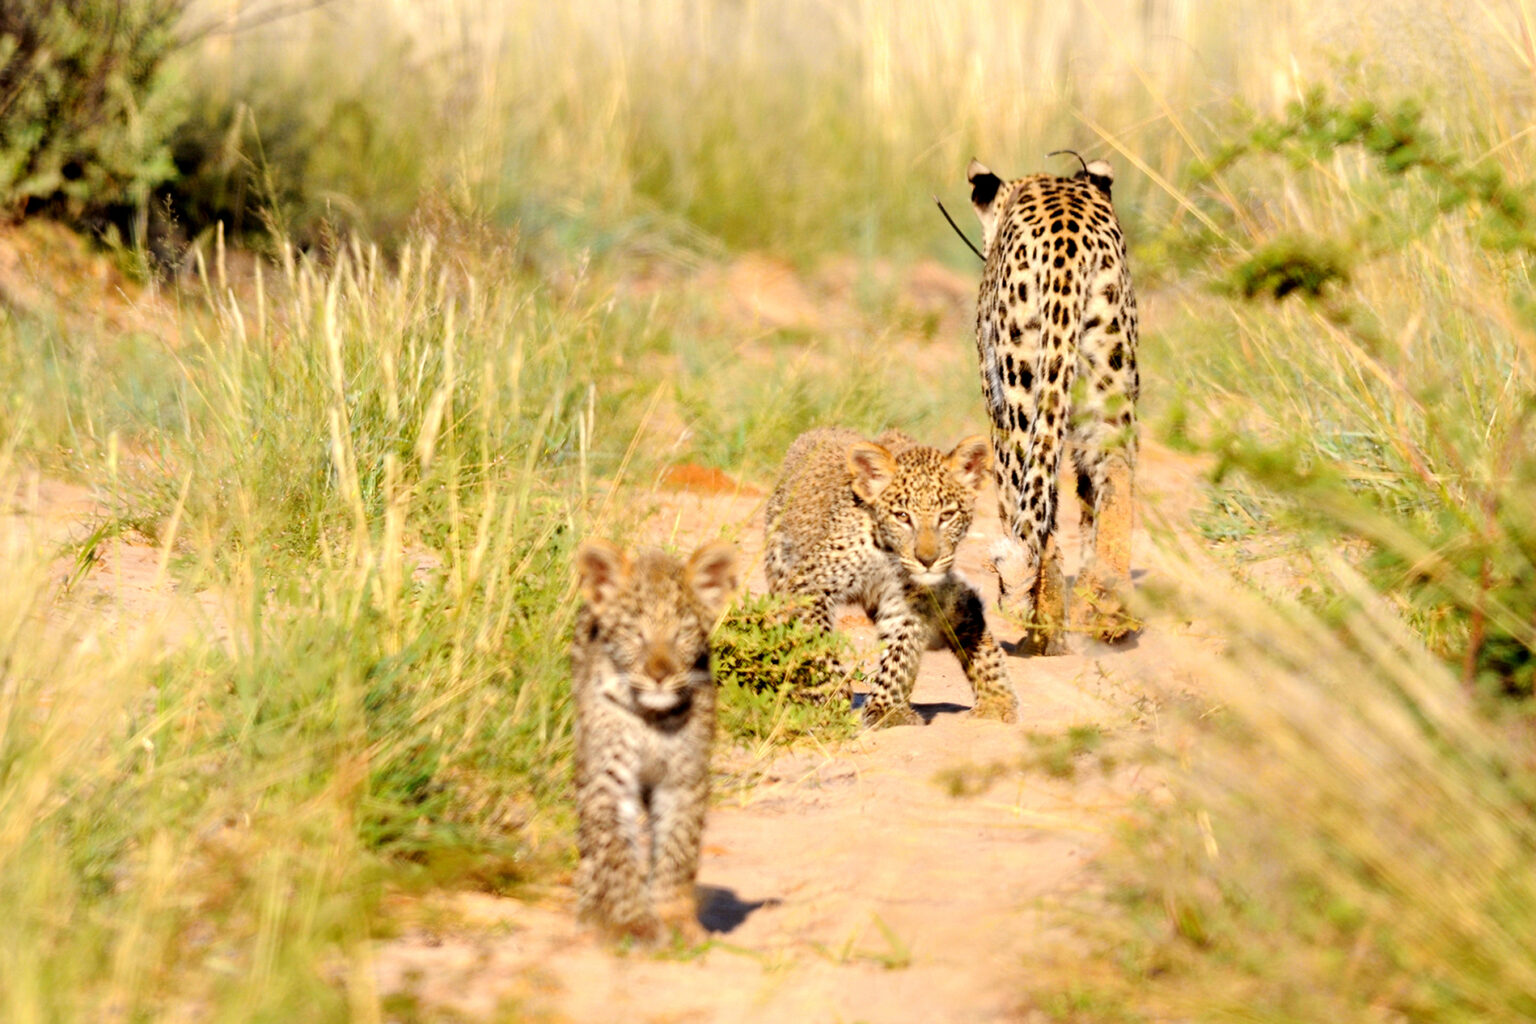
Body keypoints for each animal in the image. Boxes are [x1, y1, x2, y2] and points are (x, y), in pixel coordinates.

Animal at [570, 538, 738, 944]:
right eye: (634, 632)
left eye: (683, 632)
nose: (659, 675)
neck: (652, 716)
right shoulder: (608, 778)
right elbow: (614, 852)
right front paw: (633, 921)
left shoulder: (684, 778)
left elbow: (678, 850)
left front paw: (674, 920)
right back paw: (591, 908)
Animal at [764, 426, 1018, 727]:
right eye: (902, 516)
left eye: (947, 515)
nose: (927, 560)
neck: (886, 553)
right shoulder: (810, 586)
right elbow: (818, 644)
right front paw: (830, 696)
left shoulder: (909, 602)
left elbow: (901, 652)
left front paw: (888, 710)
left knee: (968, 608)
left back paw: (996, 700)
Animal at [966, 155, 1140, 654]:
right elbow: (1088, 506)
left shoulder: (998, 419)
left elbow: (1020, 507)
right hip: (1109, 388)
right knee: (1117, 480)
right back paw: (1107, 611)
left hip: (1021, 401)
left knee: (1032, 511)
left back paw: (1042, 628)